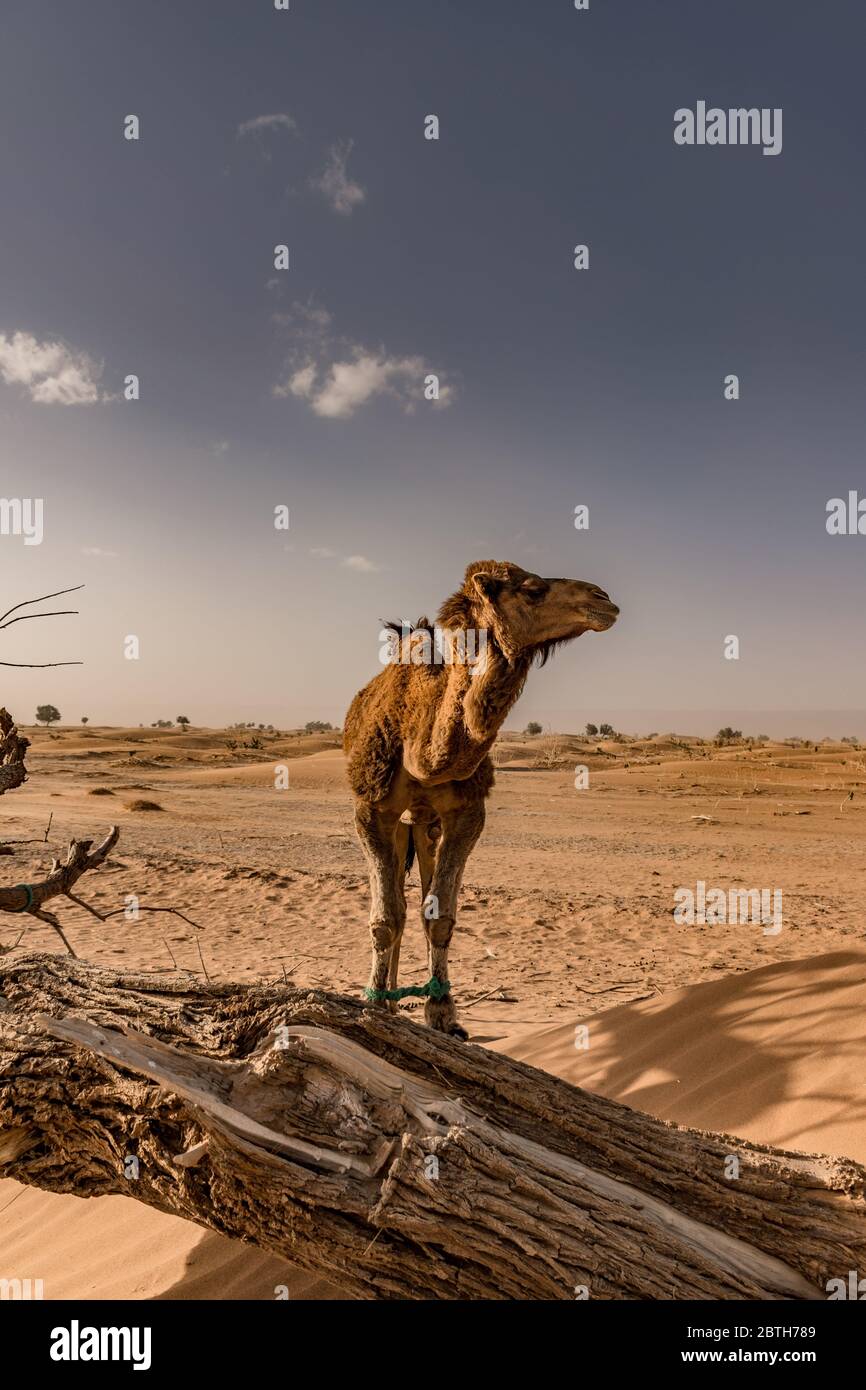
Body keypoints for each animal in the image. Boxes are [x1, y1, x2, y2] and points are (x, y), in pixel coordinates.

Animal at [344, 560, 619, 1037]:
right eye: (533, 589)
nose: (603, 599)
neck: (422, 746)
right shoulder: (371, 808)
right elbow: (384, 918)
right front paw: (374, 1005)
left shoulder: (466, 813)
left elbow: (439, 916)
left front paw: (443, 1013)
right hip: (400, 822)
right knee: (398, 898)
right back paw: (391, 999)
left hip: (425, 824)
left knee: (418, 899)